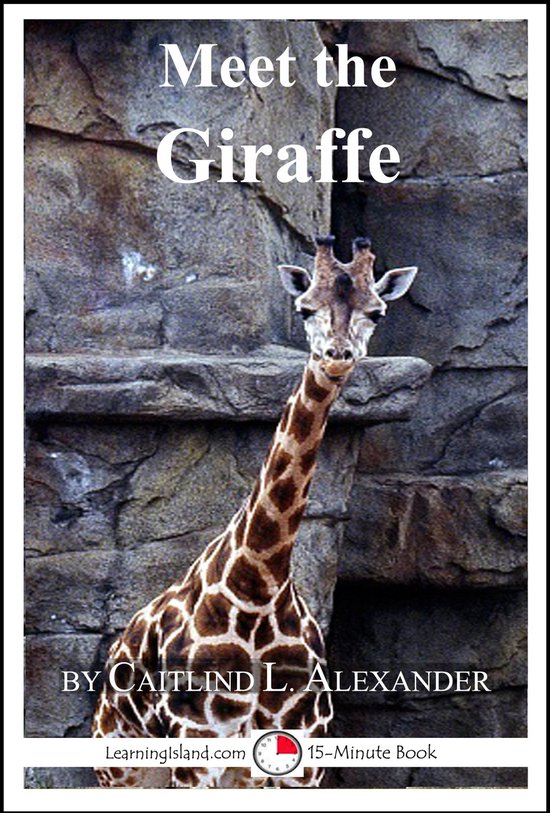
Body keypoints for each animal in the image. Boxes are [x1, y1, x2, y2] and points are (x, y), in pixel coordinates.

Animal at [92, 235, 417, 788]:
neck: (259, 592)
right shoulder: (196, 753)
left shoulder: (301, 762)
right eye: (305, 308)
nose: (337, 355)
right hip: (120, 766)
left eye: (376, 311)